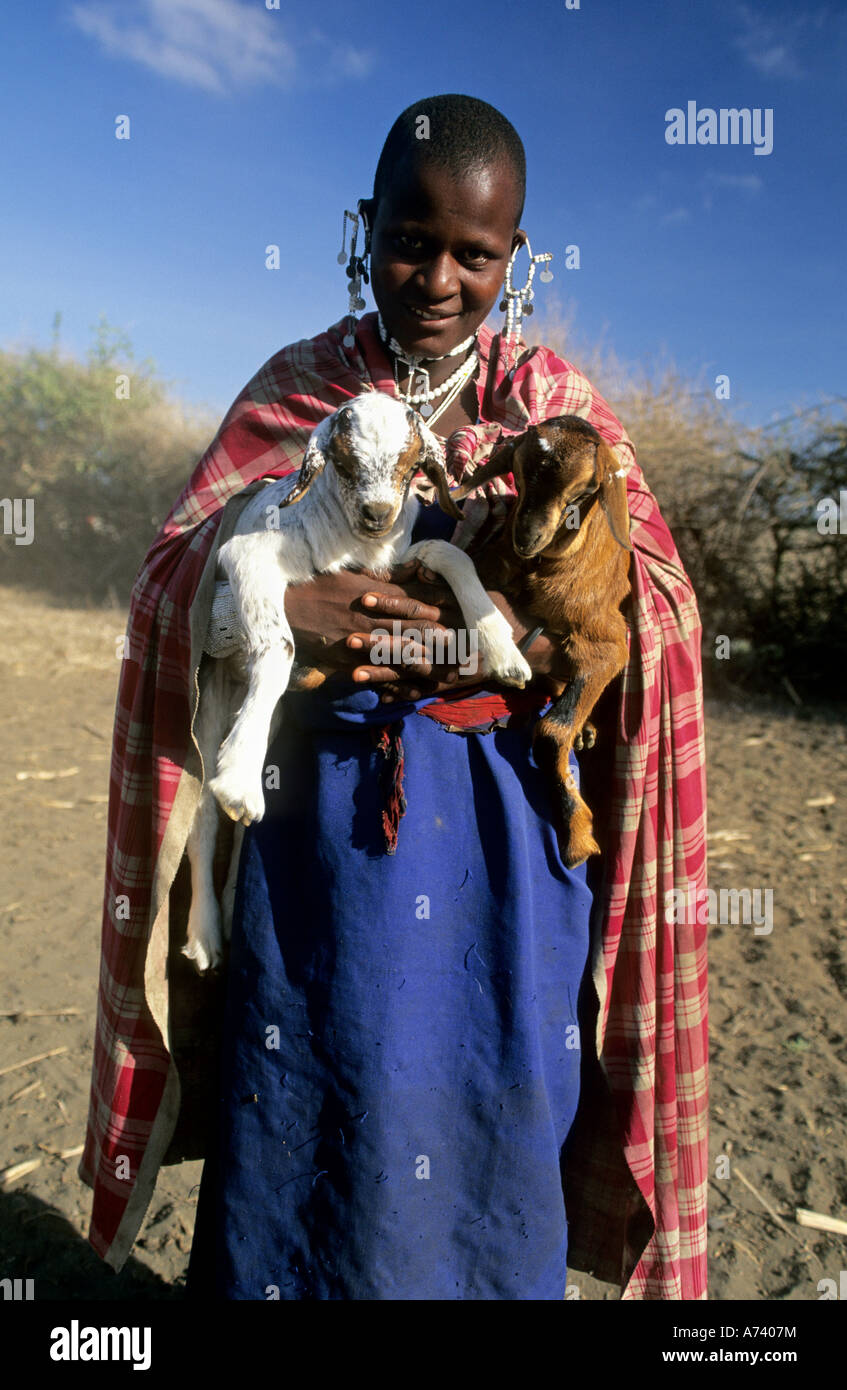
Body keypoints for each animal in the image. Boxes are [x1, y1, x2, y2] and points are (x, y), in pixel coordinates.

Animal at [184, 391, 533, 973]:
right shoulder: (248, 557)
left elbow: (450, 552)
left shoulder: (398, 562)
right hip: (210, 707)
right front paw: (240, 779)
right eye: (344, 464)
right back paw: (206, 931)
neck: (354, 545)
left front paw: (502, 648)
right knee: (205, 820)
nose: (377, 514)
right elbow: (280, 643)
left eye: (410, 466)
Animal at [450, 414, 632, 870]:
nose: (526, 537)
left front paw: (578, 837)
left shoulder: (606, 645)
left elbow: (552, 730)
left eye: (585, 491)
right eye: (516, 472)